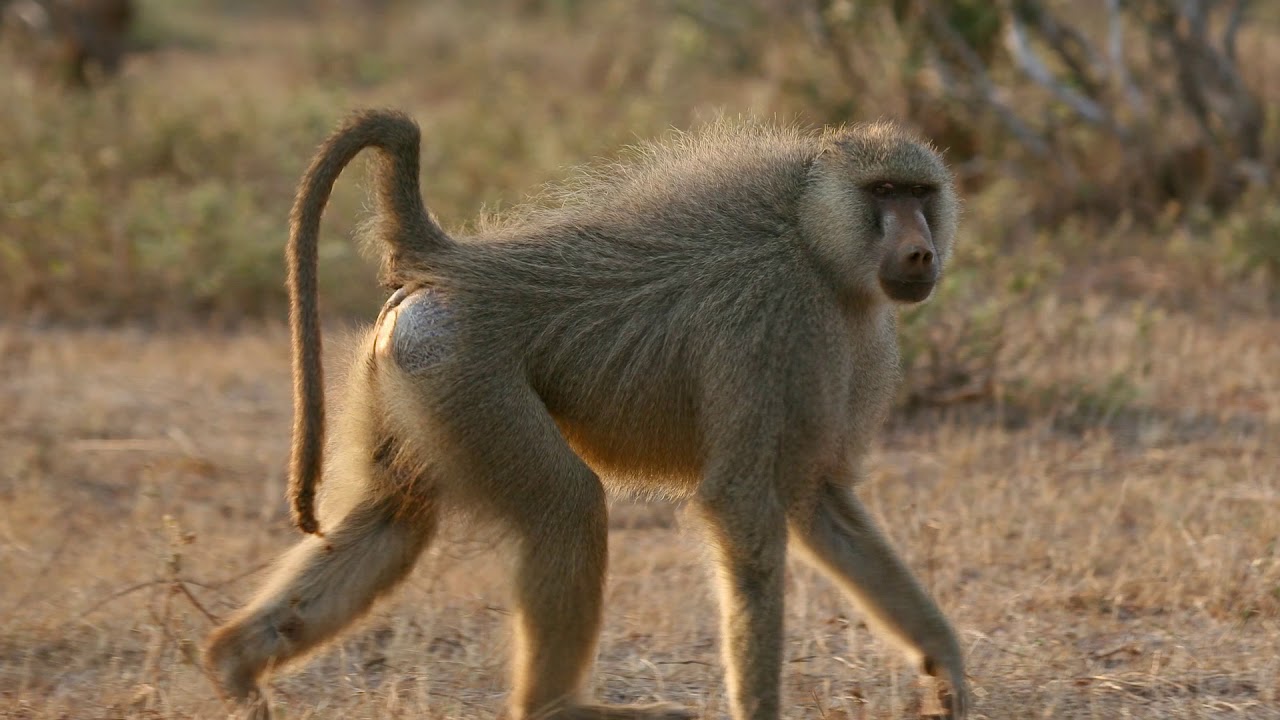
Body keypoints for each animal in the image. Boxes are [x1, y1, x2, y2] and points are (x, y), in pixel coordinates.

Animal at [204, 109, 971, 720]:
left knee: (394, 518)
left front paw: (945, 665)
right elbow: (741, 504)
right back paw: (558, 707)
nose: (919, 252)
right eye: (883, 194)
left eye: (921, 194)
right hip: (465, 373)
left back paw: (235, 662)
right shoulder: (770, 319)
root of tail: (457, 262)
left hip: (418, 371)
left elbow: (819, 501)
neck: (813, 244)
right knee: (567, 505)